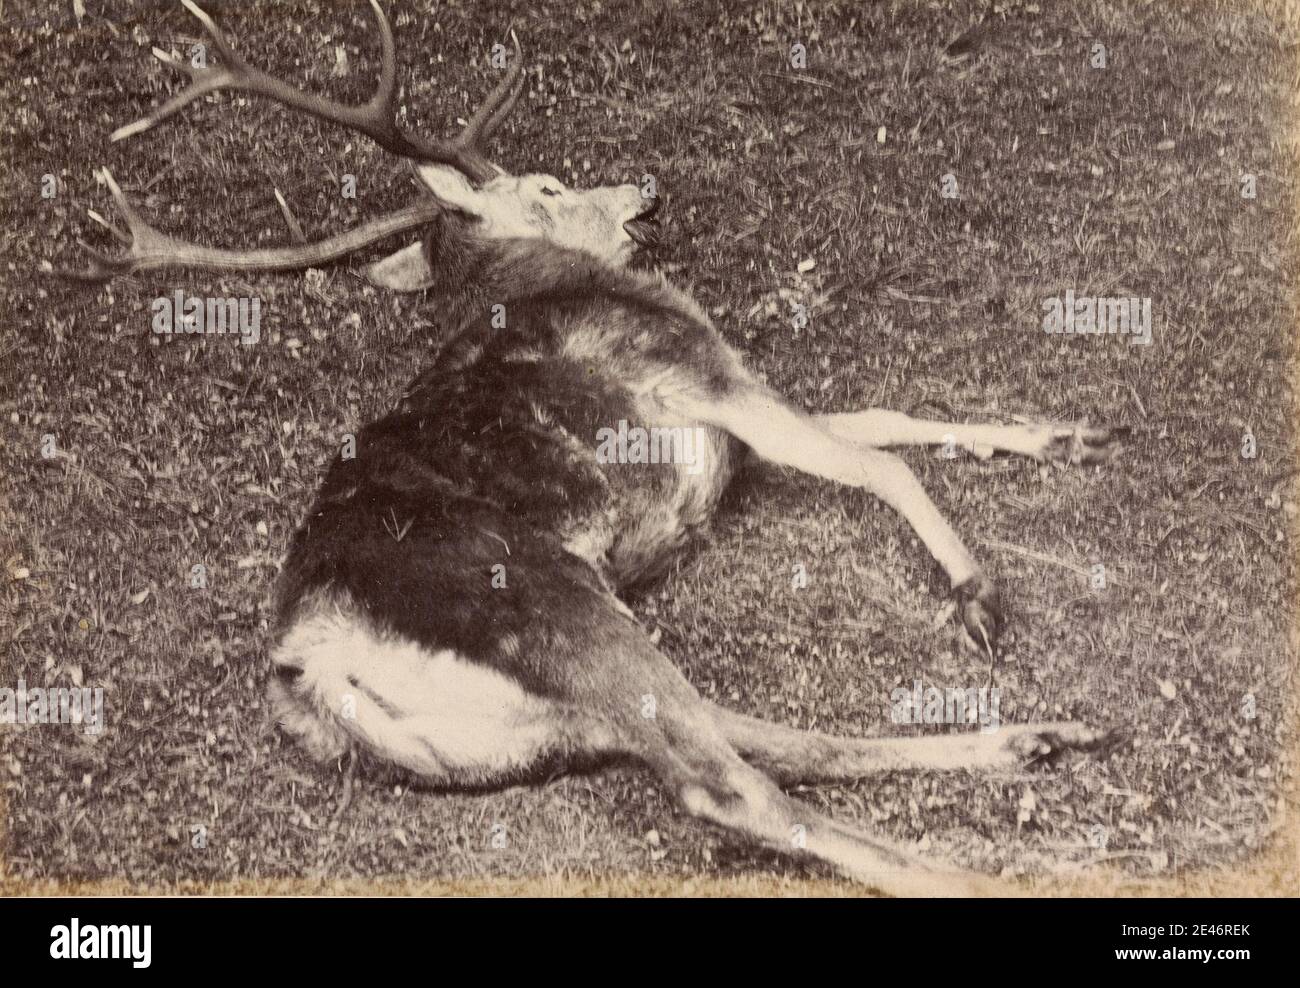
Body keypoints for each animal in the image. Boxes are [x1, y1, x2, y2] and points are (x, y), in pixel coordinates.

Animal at [73, 0, 1128, 895]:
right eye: (547, 182)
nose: (648, 190)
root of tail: (312, 673)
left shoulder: (727, 434)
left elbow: (882, 418)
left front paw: (1070, 433)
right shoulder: (694, 372)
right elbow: (878, 456)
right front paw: (979, 595)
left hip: (550, 715)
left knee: (727, 734)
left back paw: (1036, 739)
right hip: (553, 603)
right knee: (725, 785)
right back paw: (992, 862)